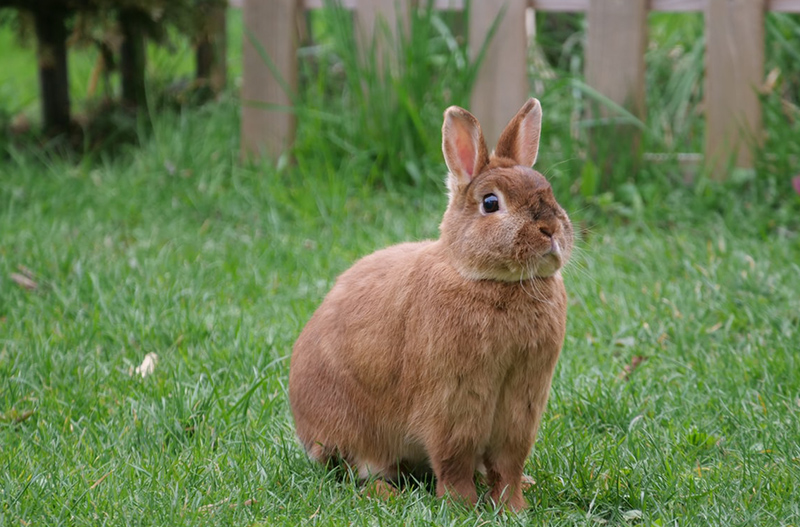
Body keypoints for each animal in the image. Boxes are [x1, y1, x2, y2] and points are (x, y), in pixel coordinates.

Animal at [289, 98, 572, 512]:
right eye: (491, 203)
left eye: (549, 191)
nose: (551, 229)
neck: (491, 281)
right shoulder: (453, 402)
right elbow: (454, 458)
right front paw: (461, 505)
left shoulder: (522, 405)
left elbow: (508, 463)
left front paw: (513, 506)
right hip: (354, 433)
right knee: (358, 471)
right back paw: (384, 493)